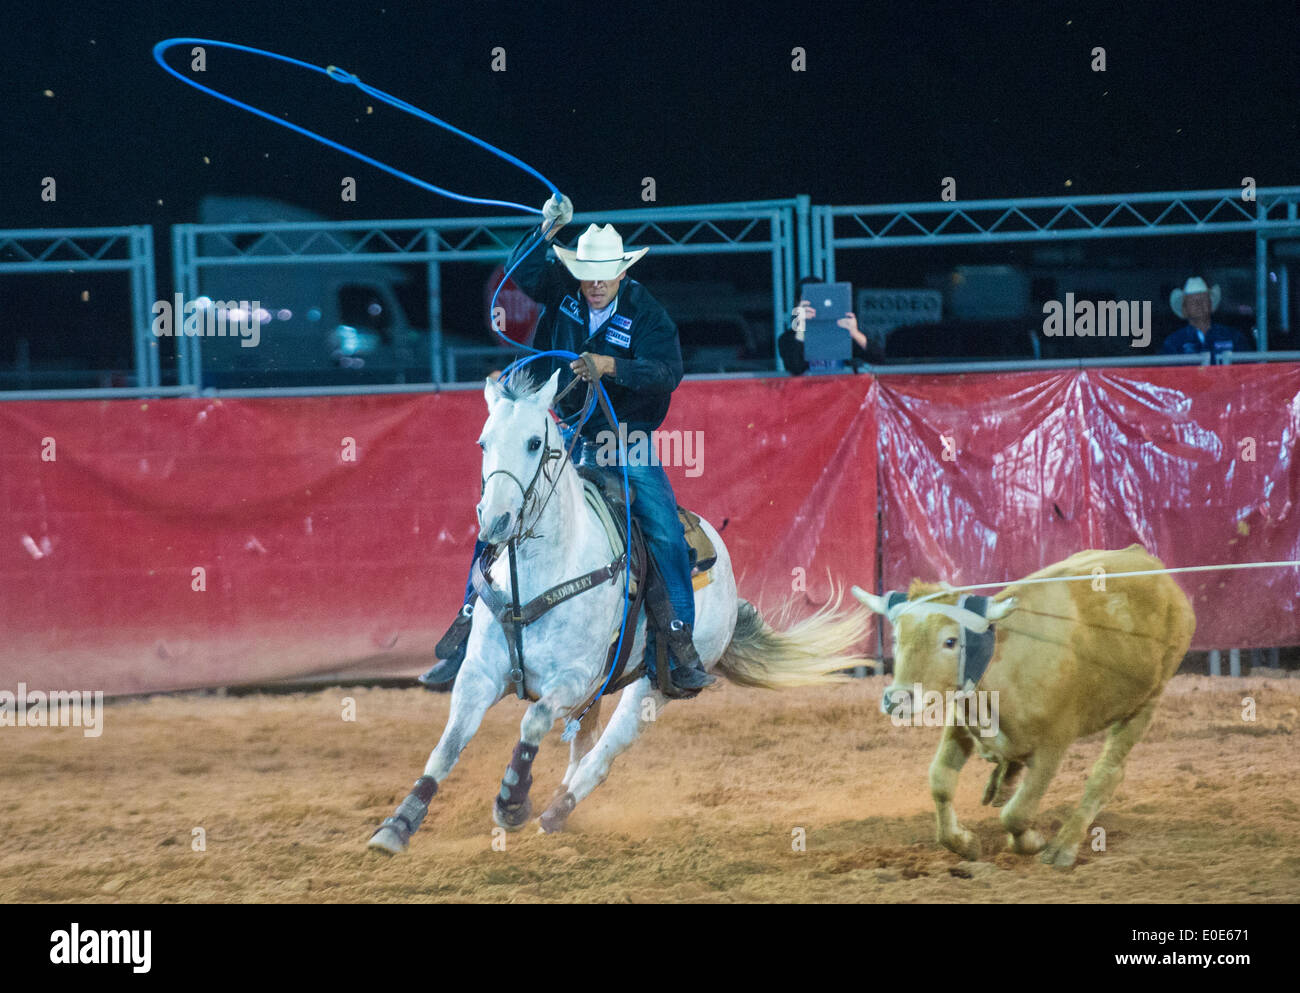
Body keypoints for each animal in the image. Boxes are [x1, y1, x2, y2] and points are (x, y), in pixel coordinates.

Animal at [852, 544, 1196, 868]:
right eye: (896, 638)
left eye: (950, 641)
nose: (897, 699)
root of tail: (1150, 564)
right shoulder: (961, 722)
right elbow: (940, 782)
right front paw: (964, 842)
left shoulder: (1053, 746)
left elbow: (1018, 812)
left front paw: (1031, 842)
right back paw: (1002, 781)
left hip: (1147, 701)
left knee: (1107, 774)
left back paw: (1063, 846)